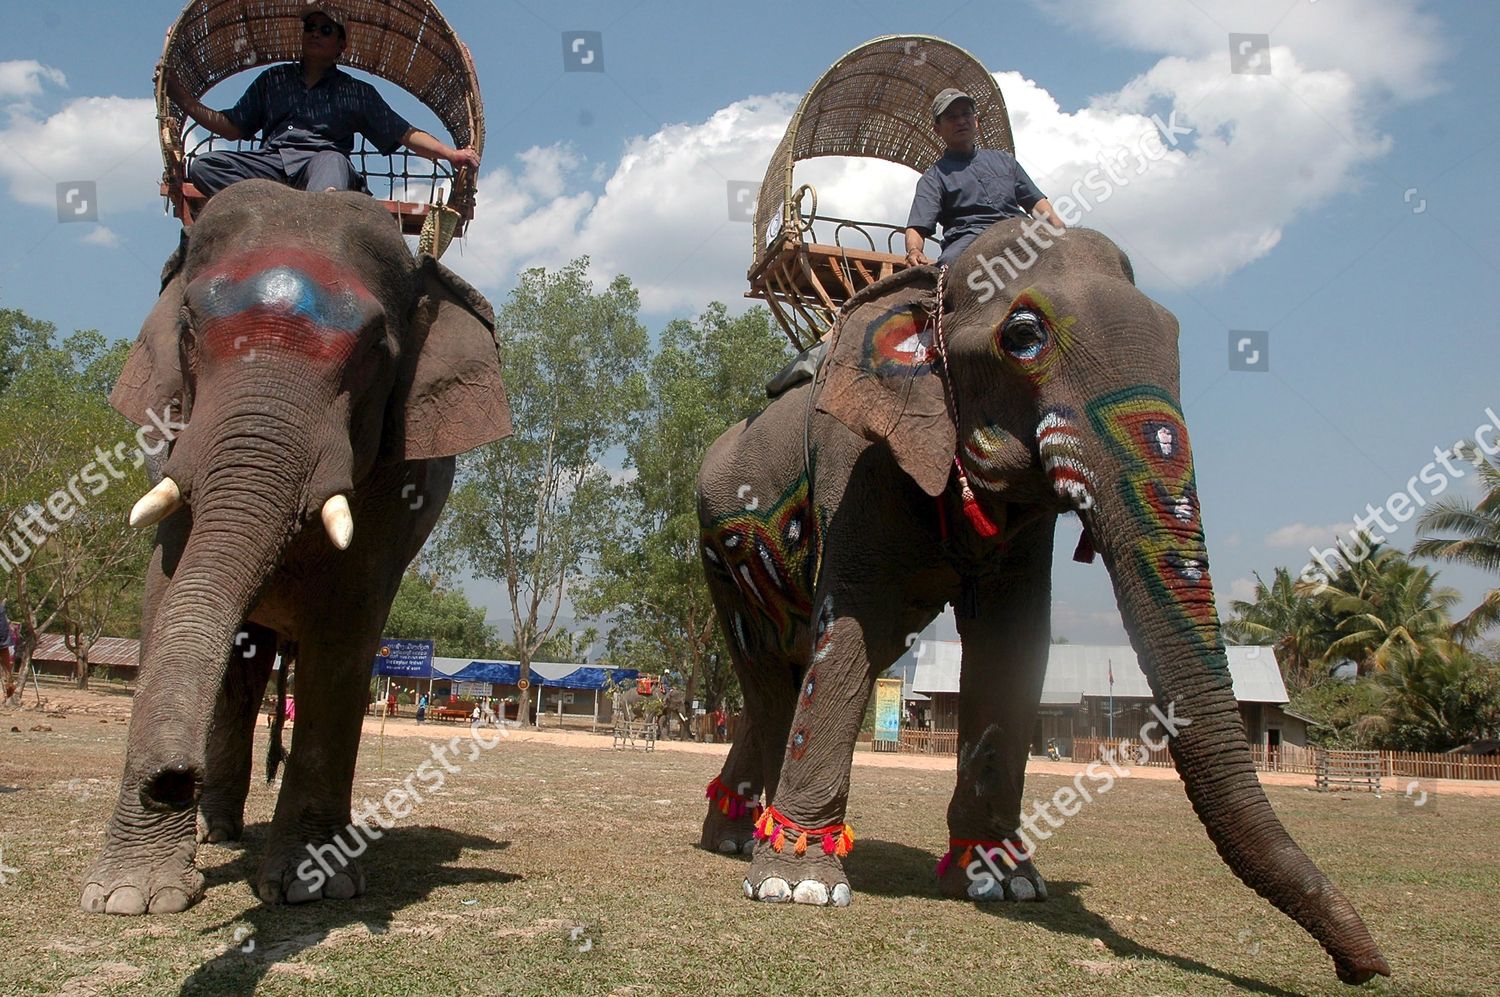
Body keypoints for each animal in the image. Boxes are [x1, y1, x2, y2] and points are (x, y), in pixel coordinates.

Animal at [80, 179, 511, 914]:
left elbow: (347, 629)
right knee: (240, 666)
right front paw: (130, 897)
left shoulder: (395, 484)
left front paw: (316, 886)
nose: (172, 779)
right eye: (189, 327)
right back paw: (215, 830)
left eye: (374, 349)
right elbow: (166, 593)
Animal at [695, 220, 1389, 984]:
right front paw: (798, 887)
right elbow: (849, 625)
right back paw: (744, 841)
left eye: (1175, 334)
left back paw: (734, 835)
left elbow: (1013, 641)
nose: (1364, 969)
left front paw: (1003, 882)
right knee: (769, 677)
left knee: (786, 679)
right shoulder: (855, 465)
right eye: (1025, 336)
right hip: (720, 556)